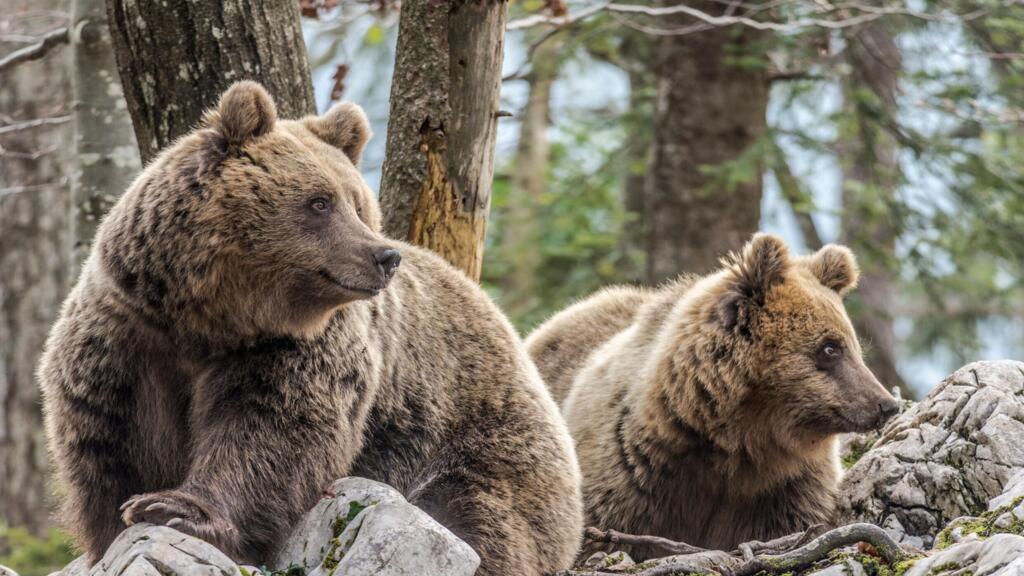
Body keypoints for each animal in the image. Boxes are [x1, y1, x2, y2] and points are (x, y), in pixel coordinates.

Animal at [37, 81, 583, 575]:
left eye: (358, 204)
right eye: (320, 202)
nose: (385, 256)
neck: (208, 318)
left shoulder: (293, 348)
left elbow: (273, 428)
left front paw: (176, 509)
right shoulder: (125, 338)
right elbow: (108, 439)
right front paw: (120, 522)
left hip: (481, 440)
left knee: (476, 514)